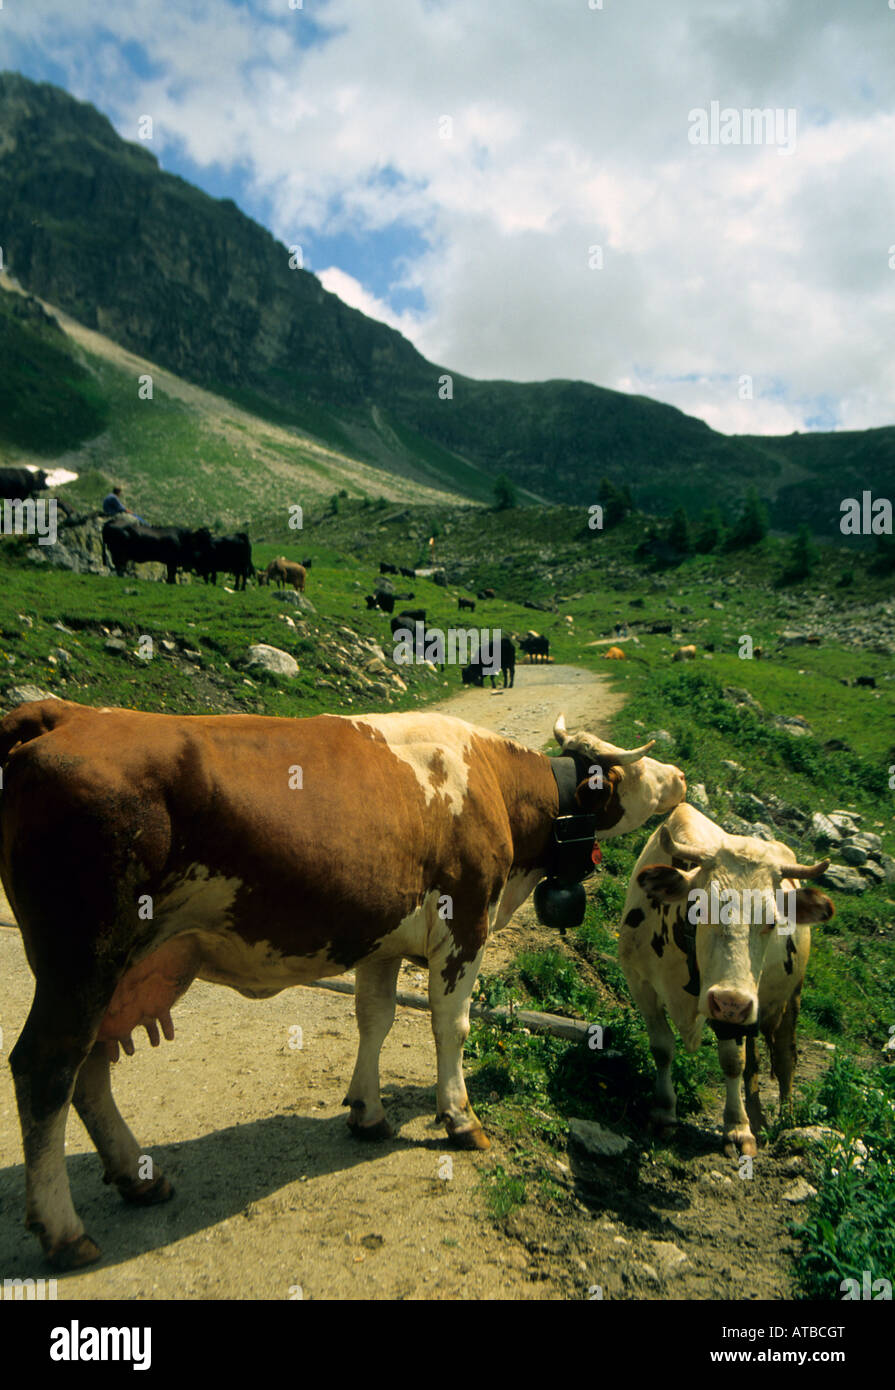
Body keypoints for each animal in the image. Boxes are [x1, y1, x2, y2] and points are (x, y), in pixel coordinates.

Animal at [0, 699, 686, 1268]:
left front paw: (367, 1111)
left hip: (105, 973)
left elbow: (374, 1018)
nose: (680, 778)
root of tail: (66, 712)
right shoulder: (465, 925)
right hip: (82, 958)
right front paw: (459, 1118)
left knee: (89, 1065)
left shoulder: (381, 938)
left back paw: (137, 1177)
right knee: (47, 1067)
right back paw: (64, 1231)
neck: (493, 782)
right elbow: (451, 1026)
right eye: (635, 771)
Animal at [618, 803, 833, 1158]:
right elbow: (662, 1047)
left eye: (772, 921)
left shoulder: (736, 1009)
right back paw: (758, 1114)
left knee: (785, 1055)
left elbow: (733, 1061)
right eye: (699, 908)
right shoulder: (640, 982)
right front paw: (664, 1111)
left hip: (788, 996)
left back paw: (785, 1118)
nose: (731, 1001)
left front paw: (737, 1128)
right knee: (756, 1059)